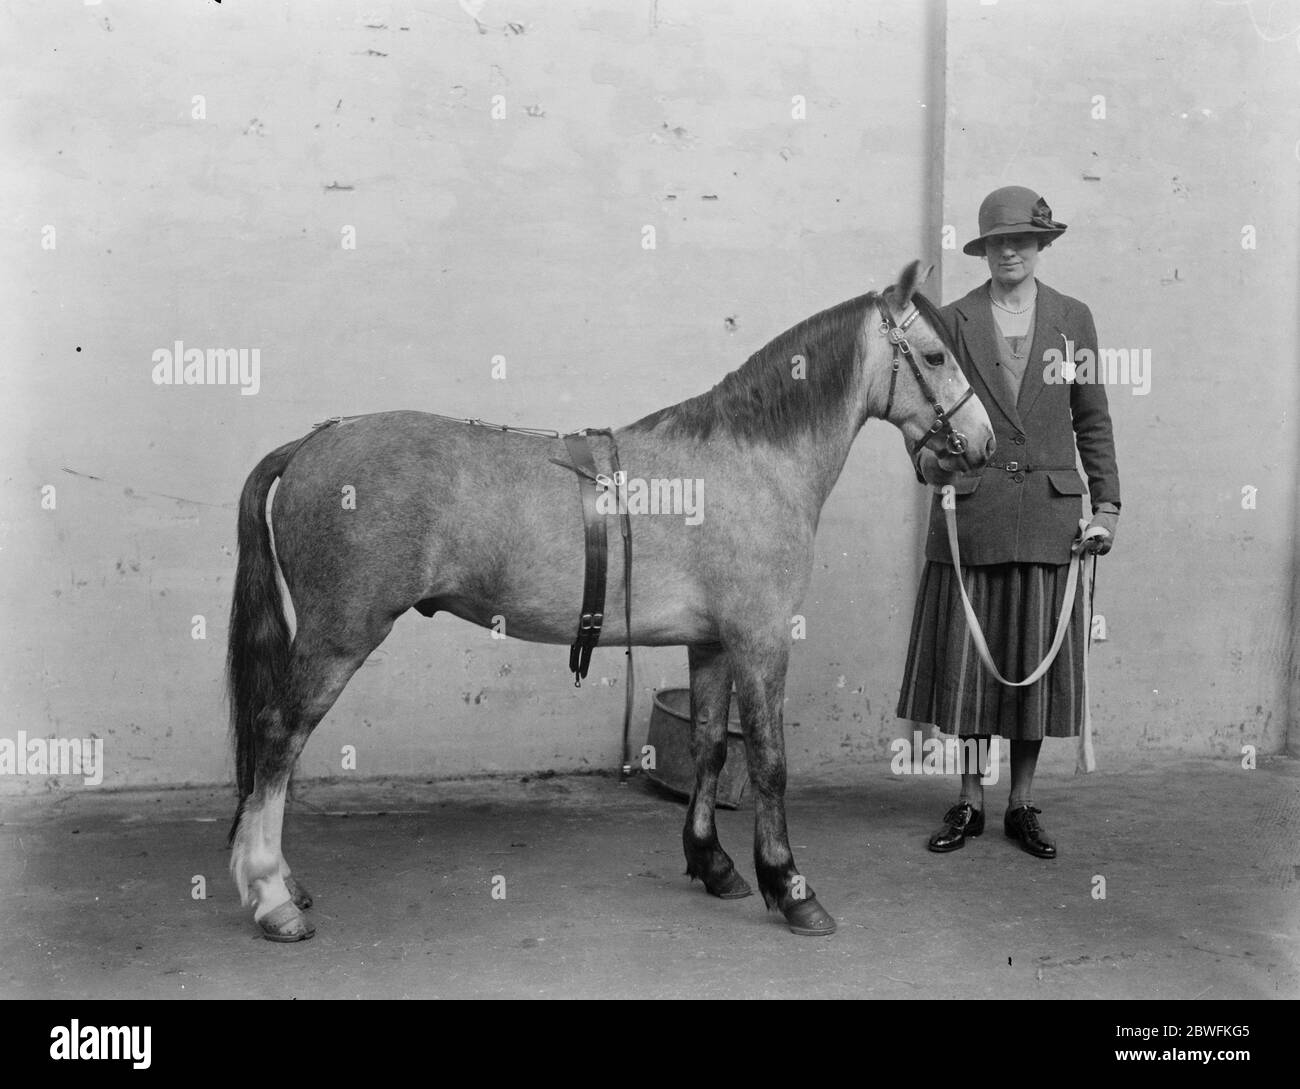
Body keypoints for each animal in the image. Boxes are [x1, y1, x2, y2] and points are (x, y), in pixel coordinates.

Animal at [226, 260, 995, 942]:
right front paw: (790, 887)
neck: (750, 461)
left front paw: (713, 863)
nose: (982, 444)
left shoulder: (711, 642)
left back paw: (282, 883)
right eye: (933, 354)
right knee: (279, 736)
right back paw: (272, 897)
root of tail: (310, 444)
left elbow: (711, 747)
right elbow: (770, 761)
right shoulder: (761, 636)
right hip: (338, 636)